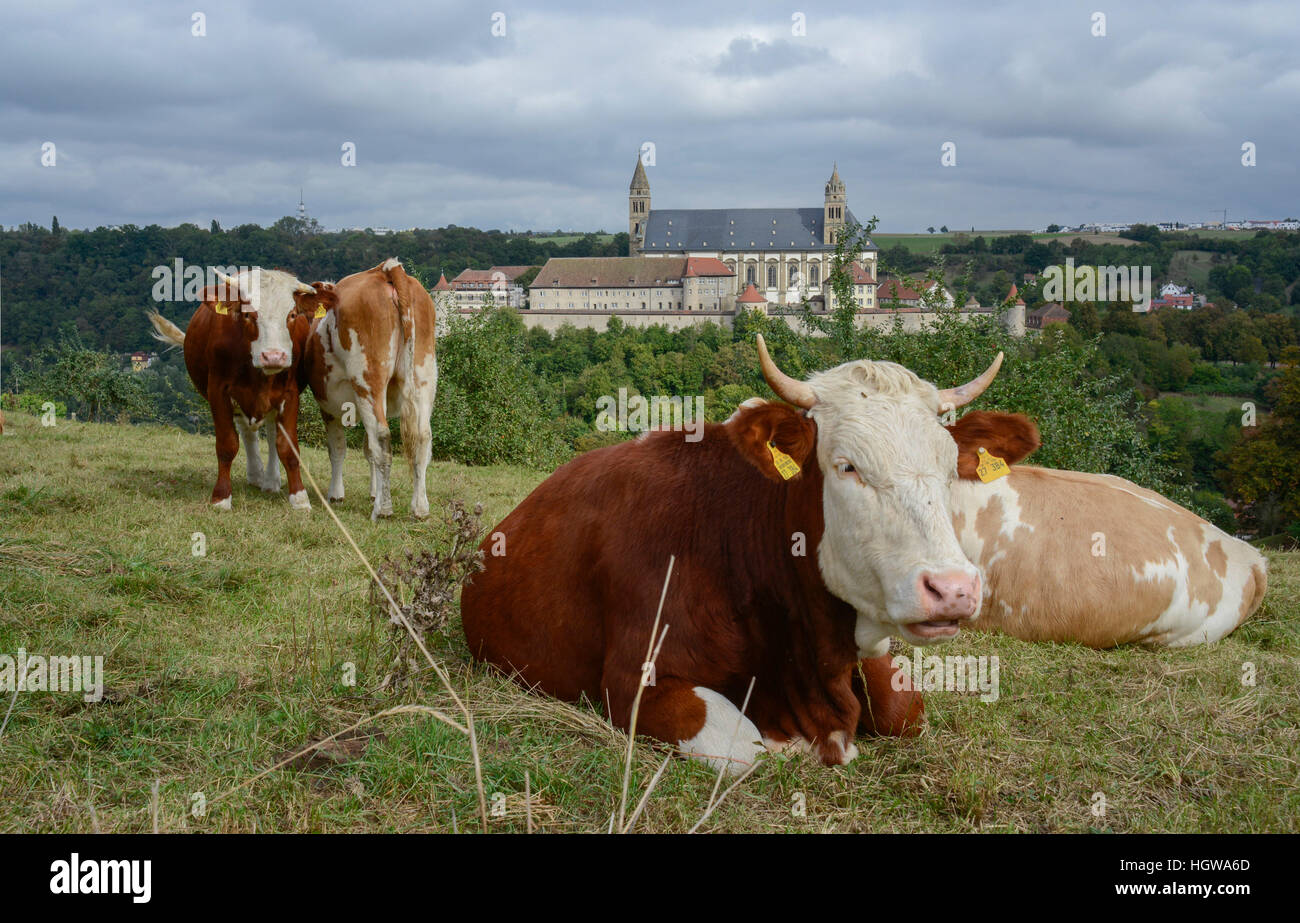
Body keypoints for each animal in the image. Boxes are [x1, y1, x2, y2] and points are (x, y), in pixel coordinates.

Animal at [146, 268, 334, 510]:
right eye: (248, 315)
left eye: (292, 315)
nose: (274, 356)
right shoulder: (218, 391)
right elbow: (227, 444)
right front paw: (221, 497)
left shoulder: (291, 393)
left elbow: (287, 446)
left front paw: (300, 498)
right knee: (247, 432)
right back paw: (256, 475)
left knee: (271, 433)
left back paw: (271, 481)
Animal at [298, 258, 438, 520]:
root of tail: (386, 269)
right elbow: (367, 450)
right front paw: (374, 492)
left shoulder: (327, 403)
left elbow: (338, 448)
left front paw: (336, 494)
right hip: (423, 378)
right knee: (422, 438)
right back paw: (420, 508)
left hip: (368, 380)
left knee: (382, 438)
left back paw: (383, 510)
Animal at [460, 336, 1040, 773]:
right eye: (847, 466)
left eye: (949, 468)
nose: (953, 589)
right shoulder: (633, 683)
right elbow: (743, 746)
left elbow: (904, 709)